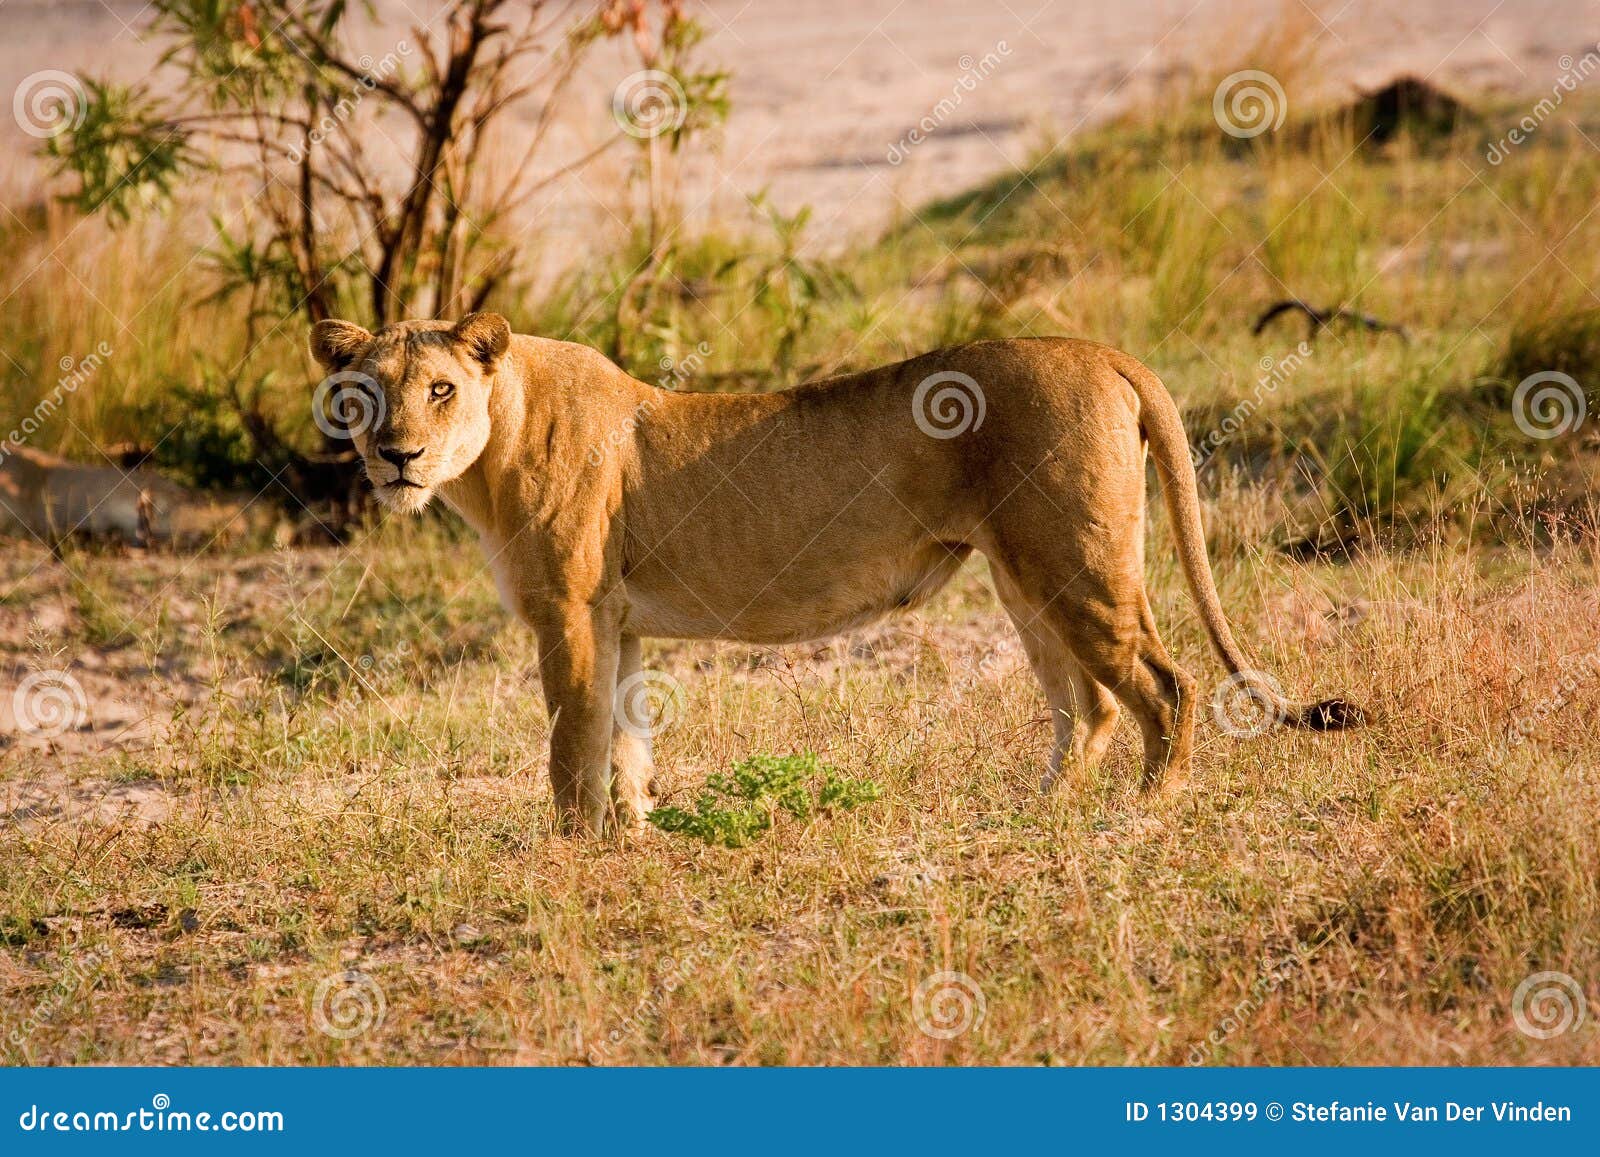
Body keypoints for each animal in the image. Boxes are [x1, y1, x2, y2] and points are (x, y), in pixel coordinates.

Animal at [309, 314, 1362, 835]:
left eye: (441, 388)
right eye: (363, 394)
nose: (397, 455)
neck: (488, 456)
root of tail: (1101, 349)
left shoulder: (567, 612)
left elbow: (573, 742)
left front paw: (567, 847)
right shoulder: (619, 620)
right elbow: (626, 734)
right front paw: (637, 832)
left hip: (1079, 562)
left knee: (1166, 684)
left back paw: (1143, 816)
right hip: (1026, 578)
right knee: (1092, 704)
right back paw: (1039, 813)